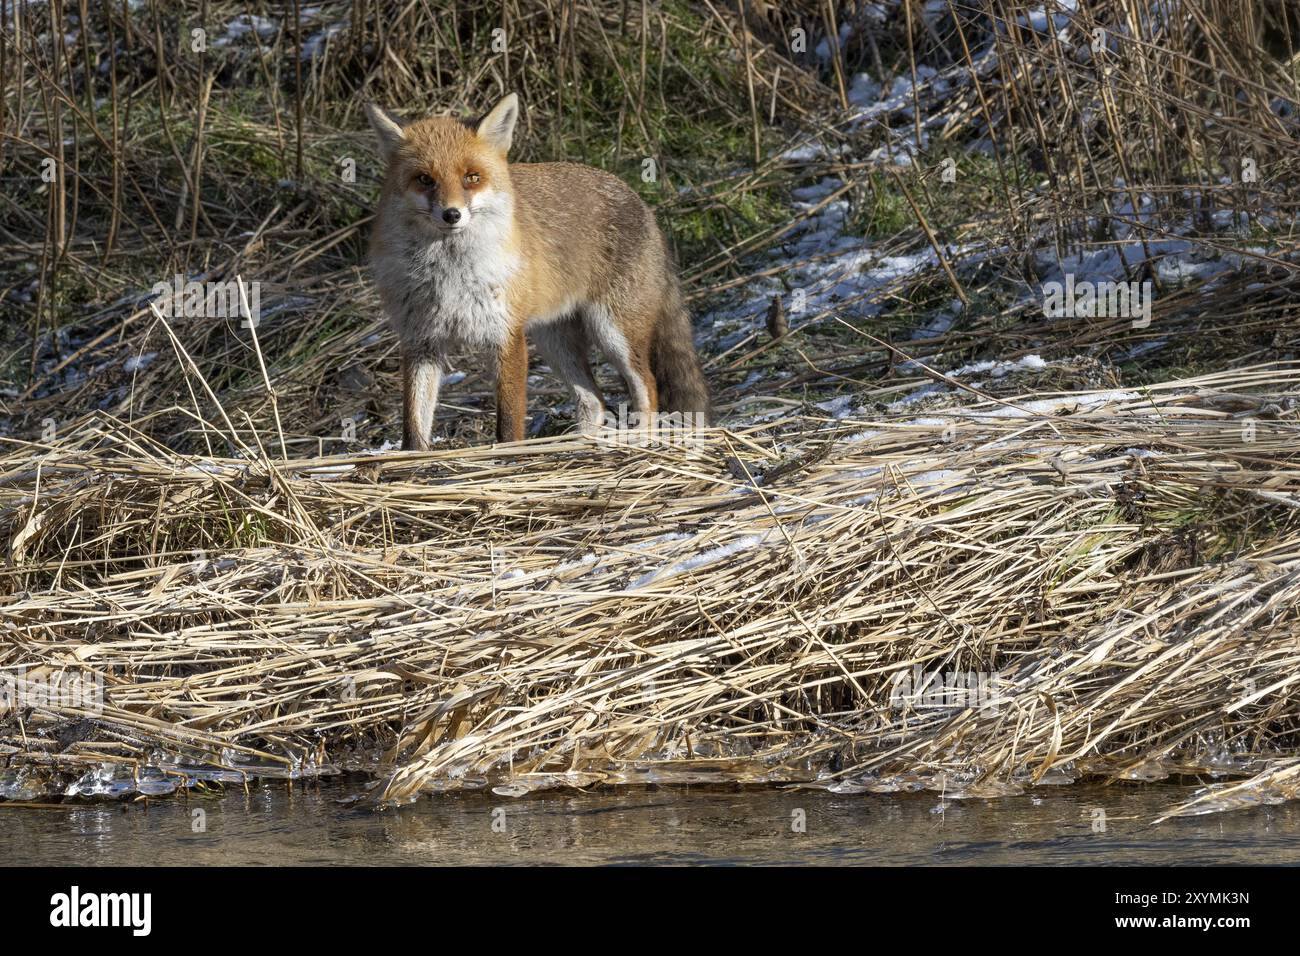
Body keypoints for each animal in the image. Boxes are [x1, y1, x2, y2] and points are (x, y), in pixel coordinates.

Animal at [364, 93, 712, 450]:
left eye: (471, 177)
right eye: (425, 179)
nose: (452, 214)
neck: (449, 275)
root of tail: (641, 202)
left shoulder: (506, 336)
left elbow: (509, 424)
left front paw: (507, 457)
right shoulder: (421, 341)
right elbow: (414, 427)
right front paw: (414, 460)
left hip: (614, 333)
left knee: (648, 387)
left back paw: (639, 440)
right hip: (554, 341)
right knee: (595, 401)